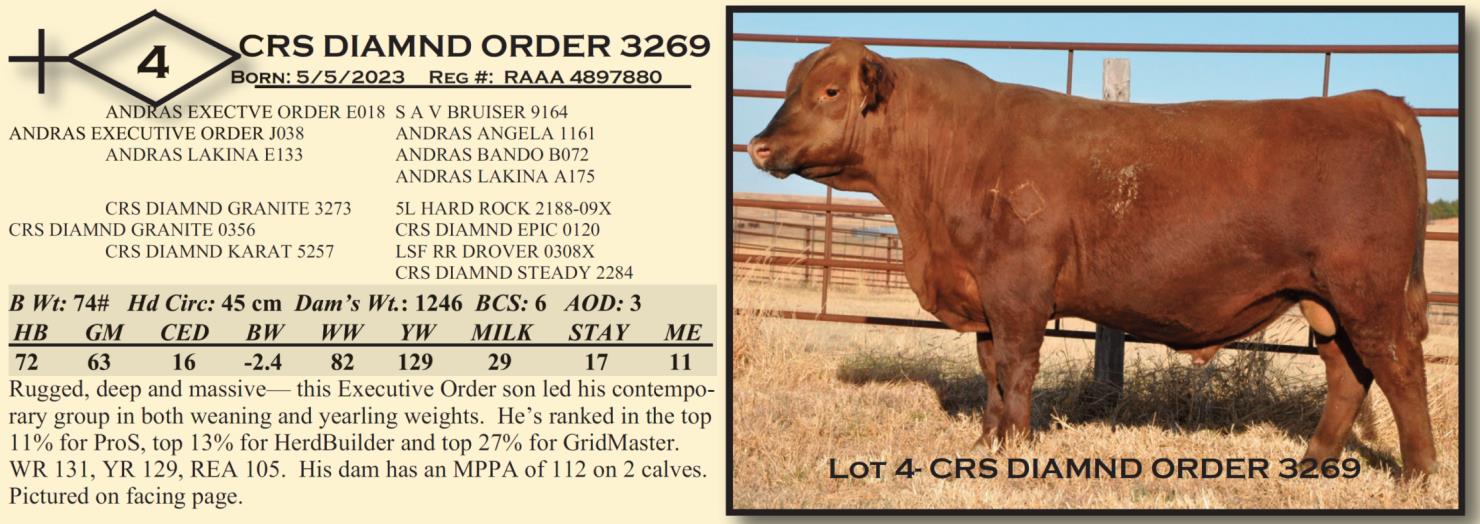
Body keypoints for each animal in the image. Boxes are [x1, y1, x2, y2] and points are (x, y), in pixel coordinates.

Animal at [746, 40, 1435, 477]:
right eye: (789, 89)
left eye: (829, 90)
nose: (758, 146)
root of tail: (1372, 102)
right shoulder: (985, 296)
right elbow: (989, 370)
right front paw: (986, 443)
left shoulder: (1018, 288)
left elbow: (1017, 369)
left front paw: (1017, 447)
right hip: (1327, 301)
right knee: (1348, 374)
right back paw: (1313, 463)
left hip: (1367, 292)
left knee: (1399, 367)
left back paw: (1419, 473)